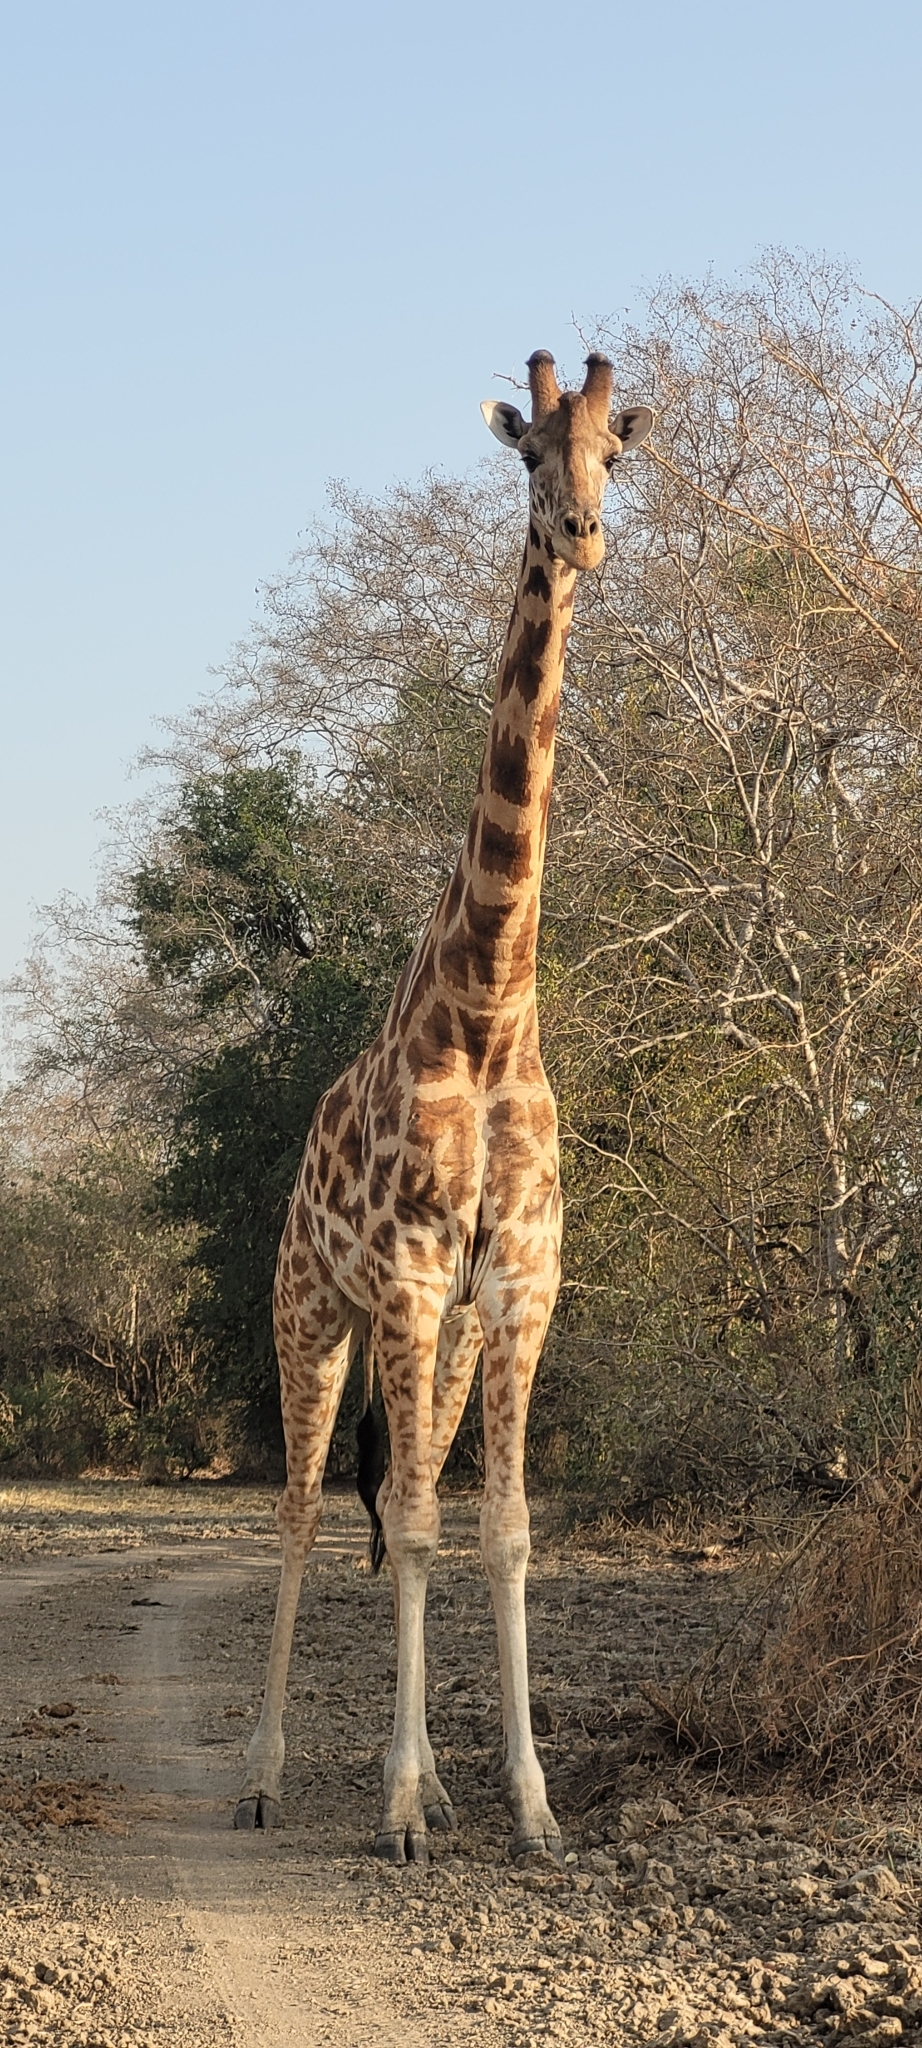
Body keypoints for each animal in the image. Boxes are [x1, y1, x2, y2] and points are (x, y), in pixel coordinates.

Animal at [234, 349, 653, 1865]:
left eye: (614, 455)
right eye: (528, 453)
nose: (581, 534)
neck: (485, 1006)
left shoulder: (516, 1284)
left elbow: (502, 1529)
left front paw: (525, 1808)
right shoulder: (414, 1276)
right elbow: (409, 1526)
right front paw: (407, 1807)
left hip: (444, 1336)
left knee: (386, 1497)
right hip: (312, 1309)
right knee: (307, 1509)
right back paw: (266, 1775)